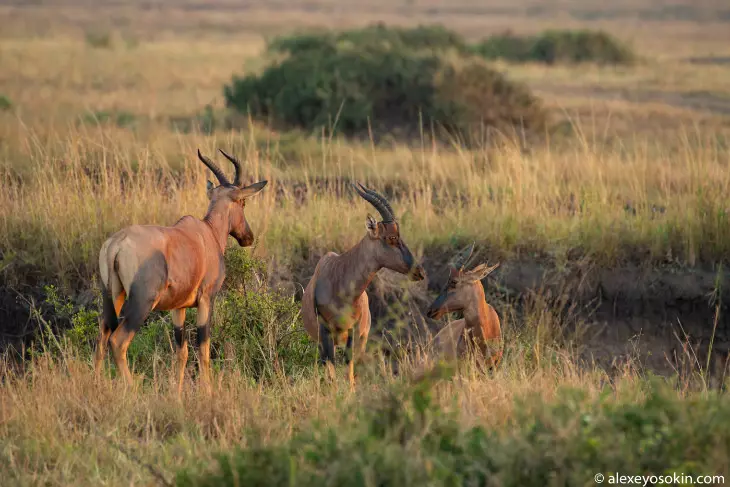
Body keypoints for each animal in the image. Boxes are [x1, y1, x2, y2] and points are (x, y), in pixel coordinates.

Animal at [94, 149, 268, 396]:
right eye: (242, 202)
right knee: (117, 341)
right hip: (142, 303)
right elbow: (203, 348)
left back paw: (96, 383)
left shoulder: (179, 307)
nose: (248, 237)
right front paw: (207, 391)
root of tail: (116, 244)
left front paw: (176, 393)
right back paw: (133, 389)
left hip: (112, 295)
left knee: (101, 337)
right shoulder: (206, 299)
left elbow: (181, 352)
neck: (206, 233)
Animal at [302, 183, 426, 392]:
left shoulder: (354, 329)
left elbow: (349, 368)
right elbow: (332, 368)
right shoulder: (325, 330)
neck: (339, 279)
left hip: (362, 337)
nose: (419, 271)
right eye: (391, 237)